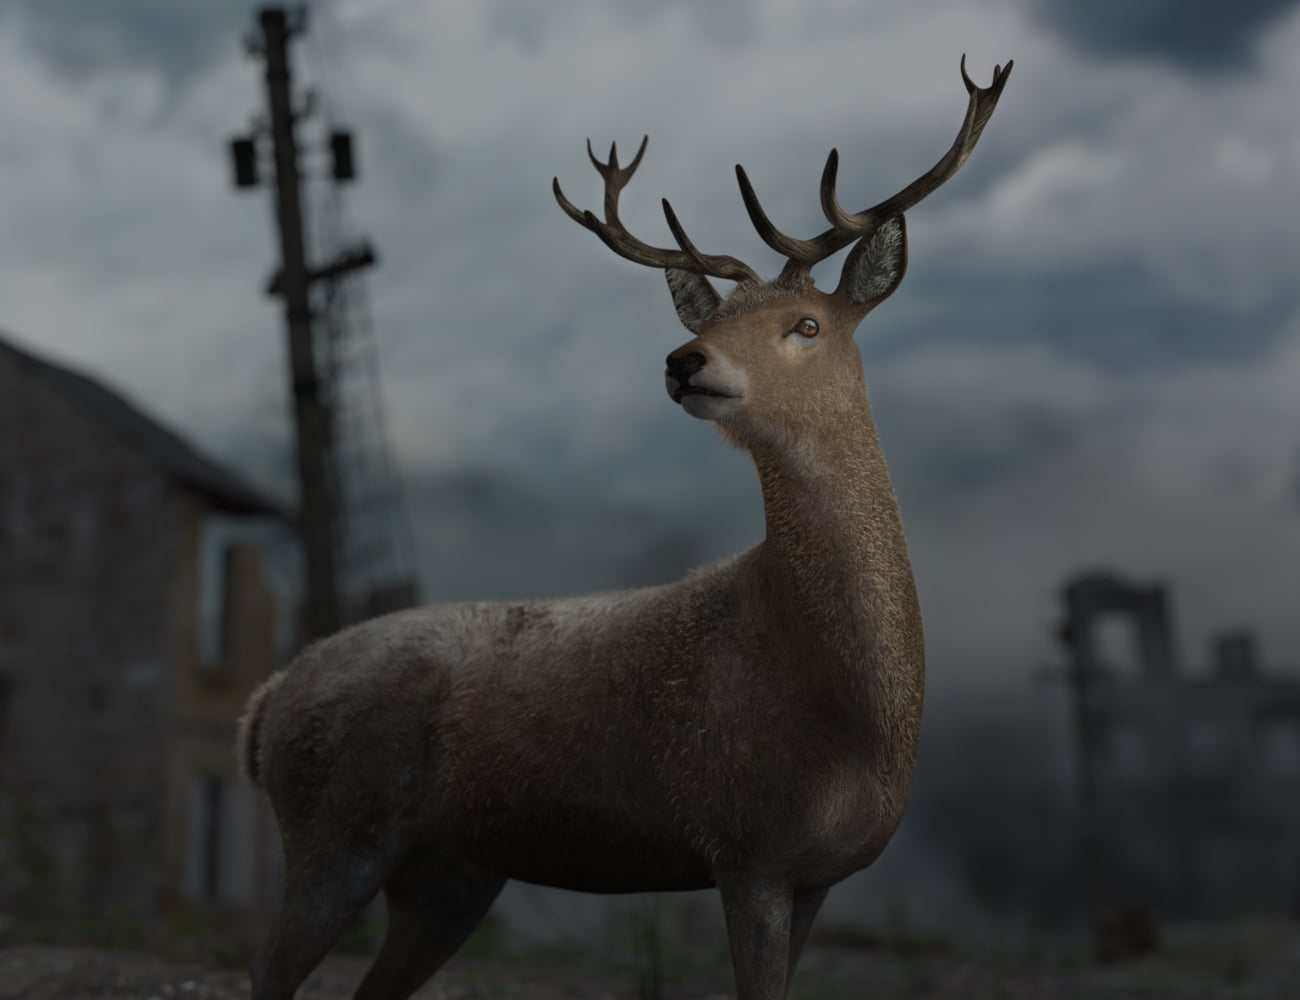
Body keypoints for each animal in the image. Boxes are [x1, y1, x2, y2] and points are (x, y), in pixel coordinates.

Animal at [235, 55, 1012, 1000]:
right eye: (707, 320)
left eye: (807, 324)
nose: (685, 361)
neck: (846, 714)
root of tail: (266, 706)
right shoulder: (744, 841)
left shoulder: (816, 873)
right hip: (335, 826)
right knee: (268, 969)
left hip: (450, 871)